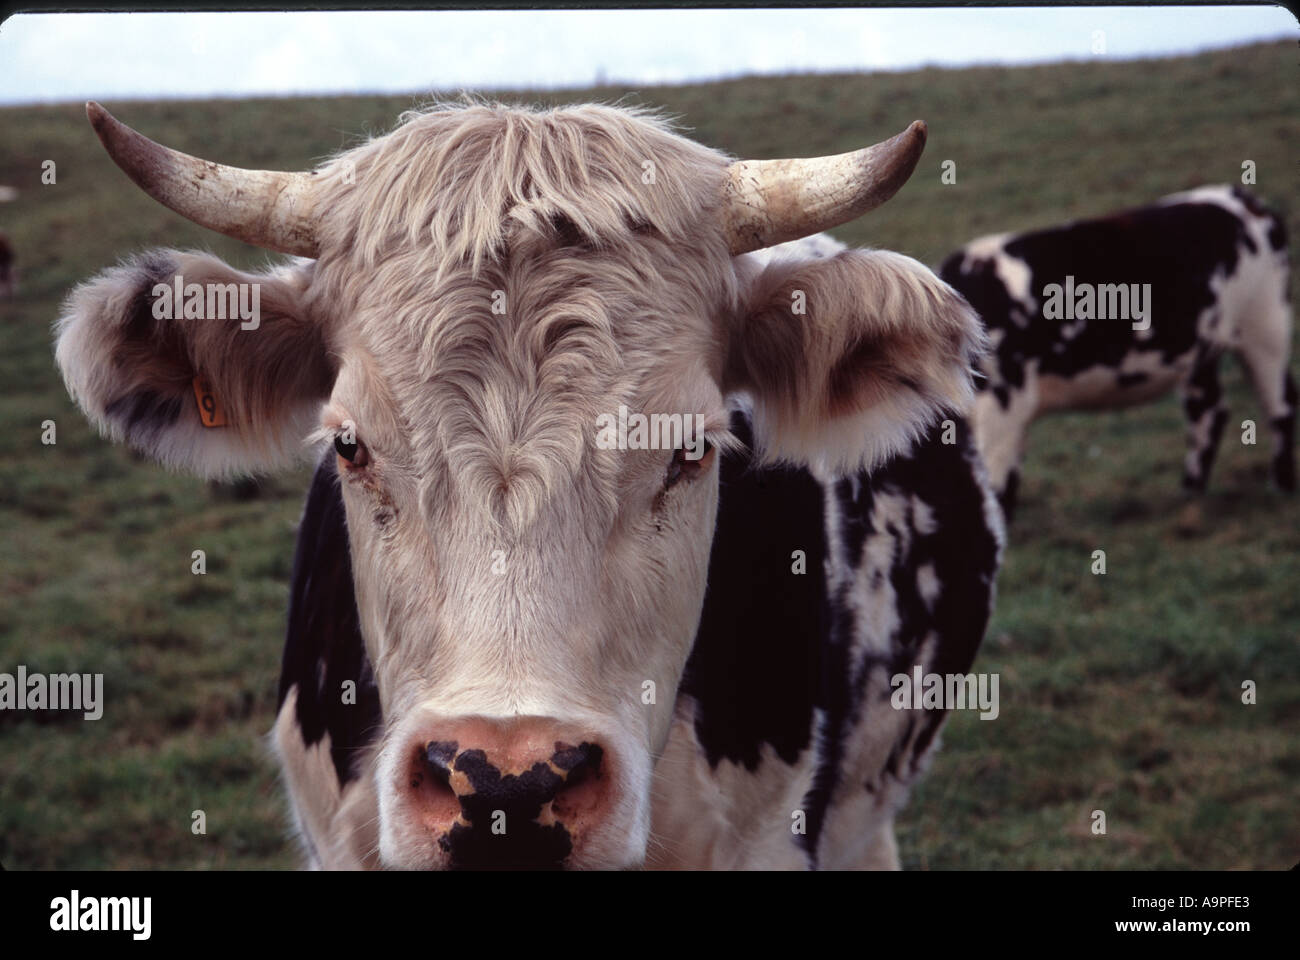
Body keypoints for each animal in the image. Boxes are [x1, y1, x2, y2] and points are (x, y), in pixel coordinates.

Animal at [938, 186, 1295, 520]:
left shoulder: (1002, 408)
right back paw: (1189, 496)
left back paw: (1280, 488)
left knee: (1280, 405)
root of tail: (1245, 199)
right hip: (1201, 349)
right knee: (1209, 411)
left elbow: (997, 494)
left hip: (1266, 328)